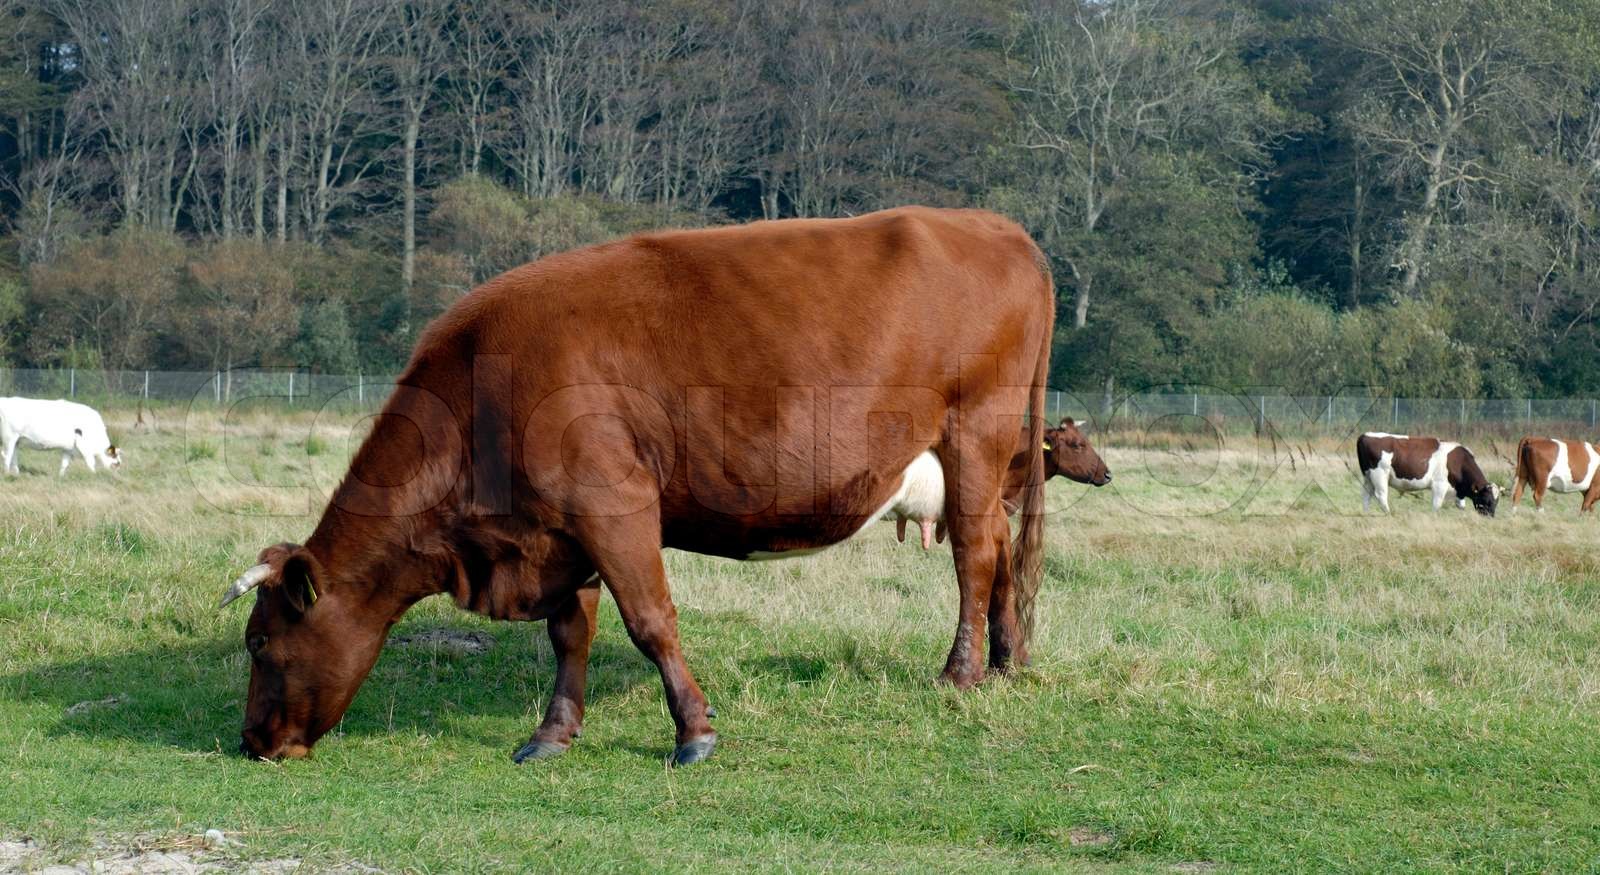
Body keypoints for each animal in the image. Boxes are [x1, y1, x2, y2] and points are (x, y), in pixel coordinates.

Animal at [218, 207, 1055, 767]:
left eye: (261, 641)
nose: (252, 741)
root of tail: (990, 223)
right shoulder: (558, 530)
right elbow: (570, 632)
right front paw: (552, 733)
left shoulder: (613, 501)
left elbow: (650, 620)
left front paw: (695, 732)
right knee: (1002, 547)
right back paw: (1008, 661)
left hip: (976, 433)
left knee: (976, 555)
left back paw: (961, 672)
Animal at [1356, 431, 1498, 516]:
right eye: (1486, 499)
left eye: (1496, 502)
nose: (1490, 517)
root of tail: (1365, 435)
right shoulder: (1439, 485)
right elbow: (1436, 505)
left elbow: (1461, 506)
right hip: (1379, 474)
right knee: (1380, 495)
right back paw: (1389, 514)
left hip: (1368, 476)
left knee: (1366, 494)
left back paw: (1366, 513)